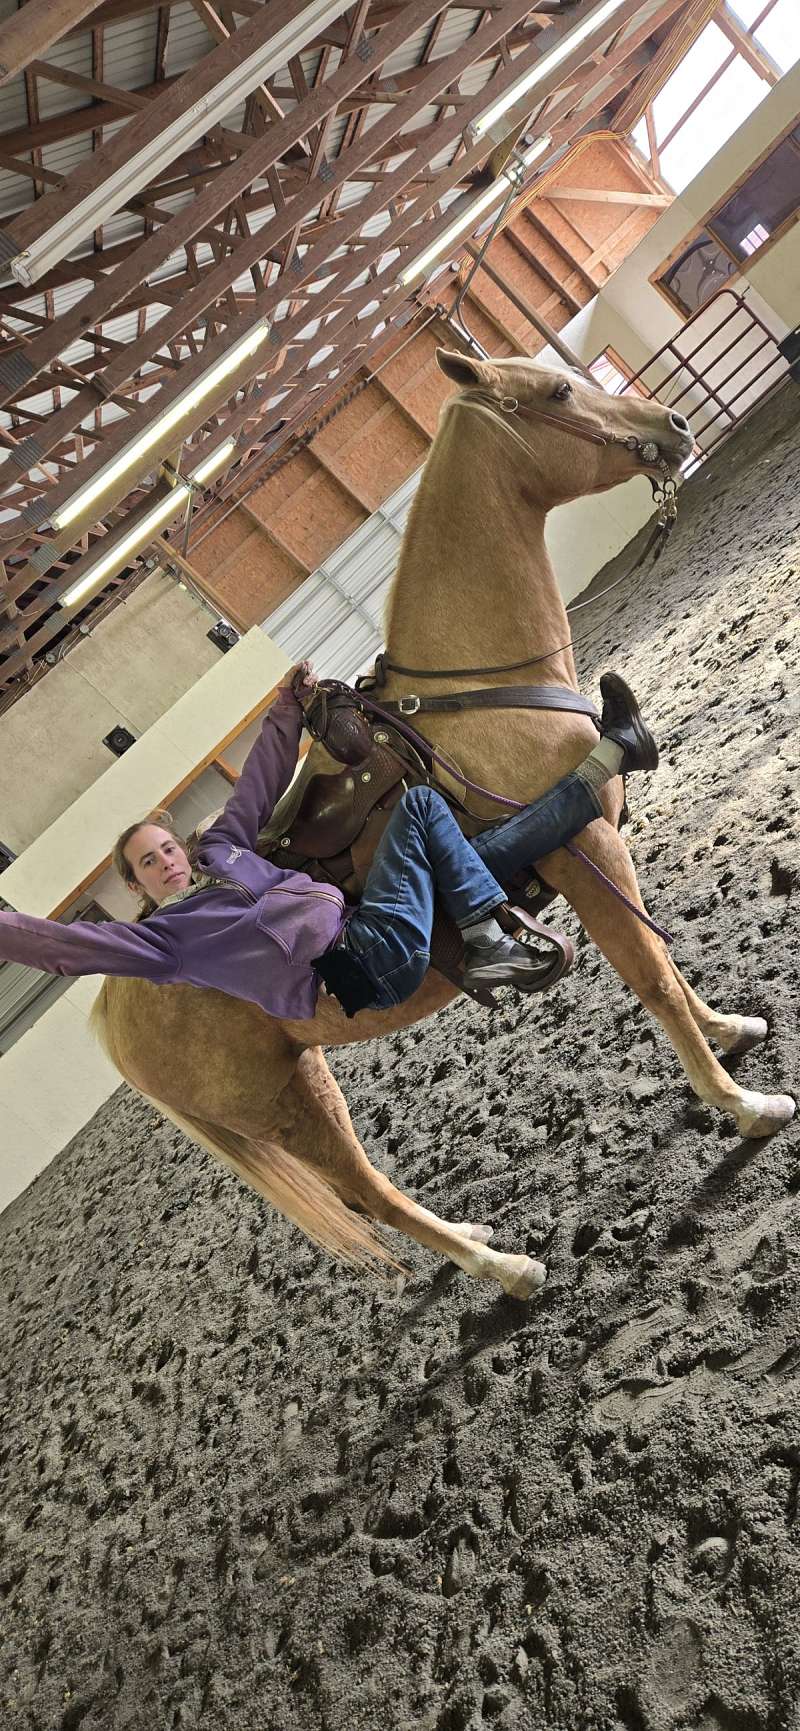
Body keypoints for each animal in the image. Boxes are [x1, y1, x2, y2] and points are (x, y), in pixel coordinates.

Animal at [92, 349, 795, 1299]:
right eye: (559, 392)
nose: (674, 423)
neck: (484, 689)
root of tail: (122, 995)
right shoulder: (582, 849)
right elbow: (648, 974)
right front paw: (743, 1105)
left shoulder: (604, 849)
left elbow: (660, 957)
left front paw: (730, 1030)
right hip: (286, 1103)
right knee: (371, 1193)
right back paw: (507, 1267)